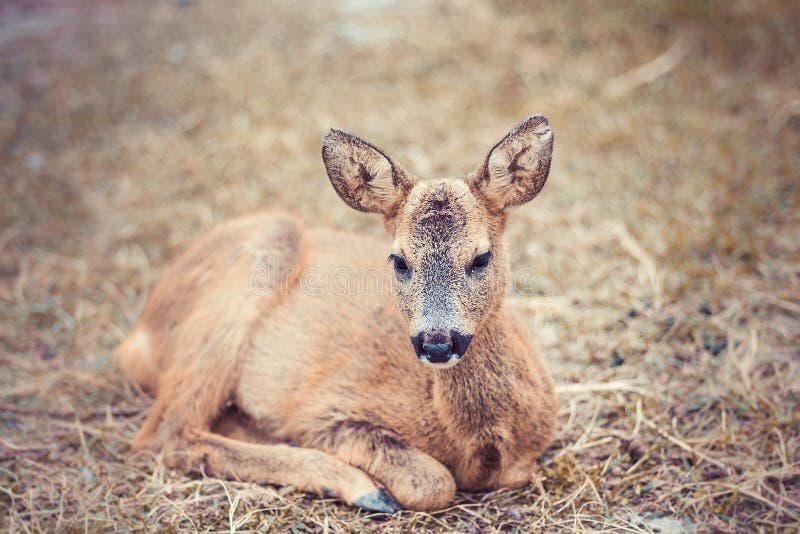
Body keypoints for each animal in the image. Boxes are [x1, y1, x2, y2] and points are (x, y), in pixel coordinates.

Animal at [117, 115, 557, 513]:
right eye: (399, 261)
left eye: (481, 257)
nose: (436, 343)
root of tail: (137, 338)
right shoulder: (322, 408)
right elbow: (431, 482)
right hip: (253, 267)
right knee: (166, 433)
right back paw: (360, 487)